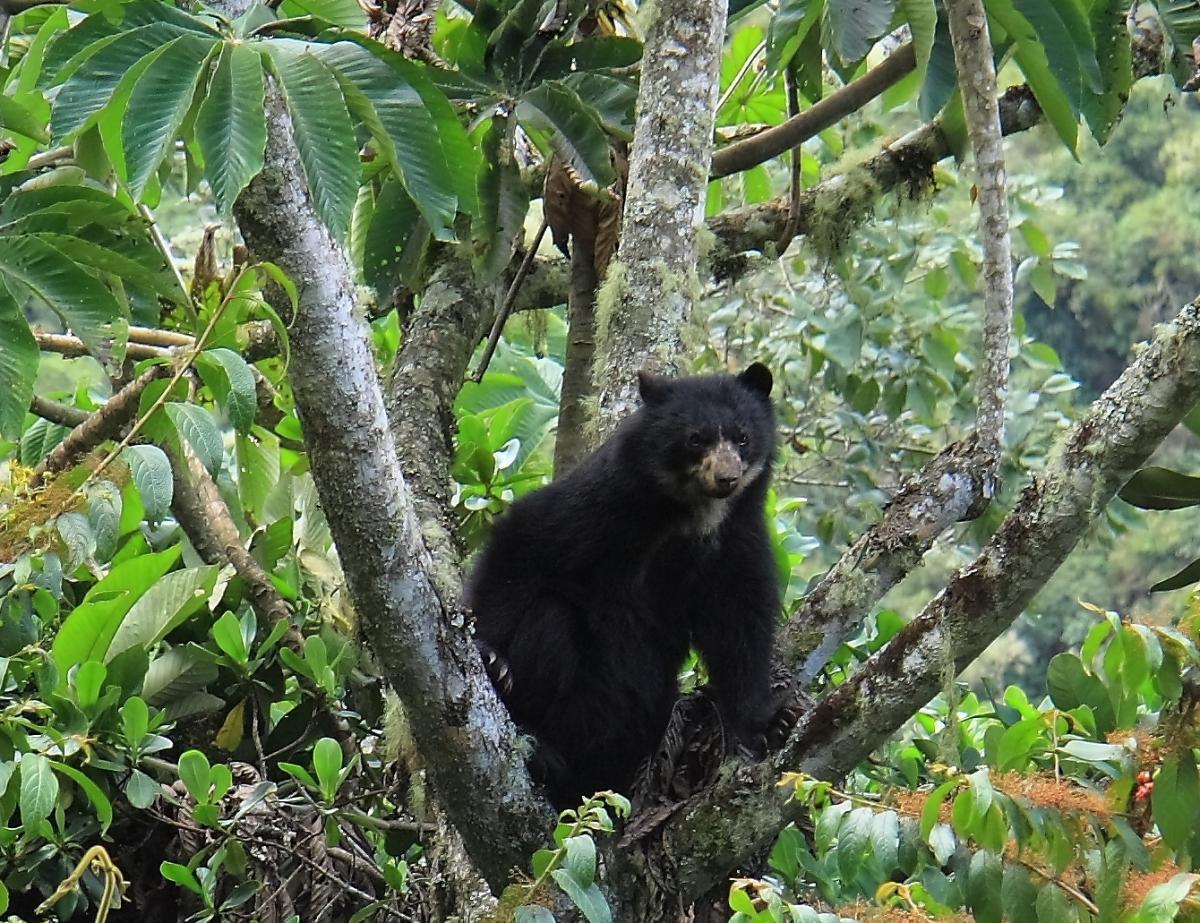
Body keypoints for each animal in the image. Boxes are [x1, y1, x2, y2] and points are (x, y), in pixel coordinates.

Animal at [465, 362, 781, 808]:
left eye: (743, 437)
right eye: (695, 438)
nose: (727, 478)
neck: (690, 514)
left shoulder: (736, 537)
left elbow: (740, 621)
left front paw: (766, 722)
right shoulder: (604, 503)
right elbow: (524, 543)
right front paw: (492, 657)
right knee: (549, 618)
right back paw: (540, 746)